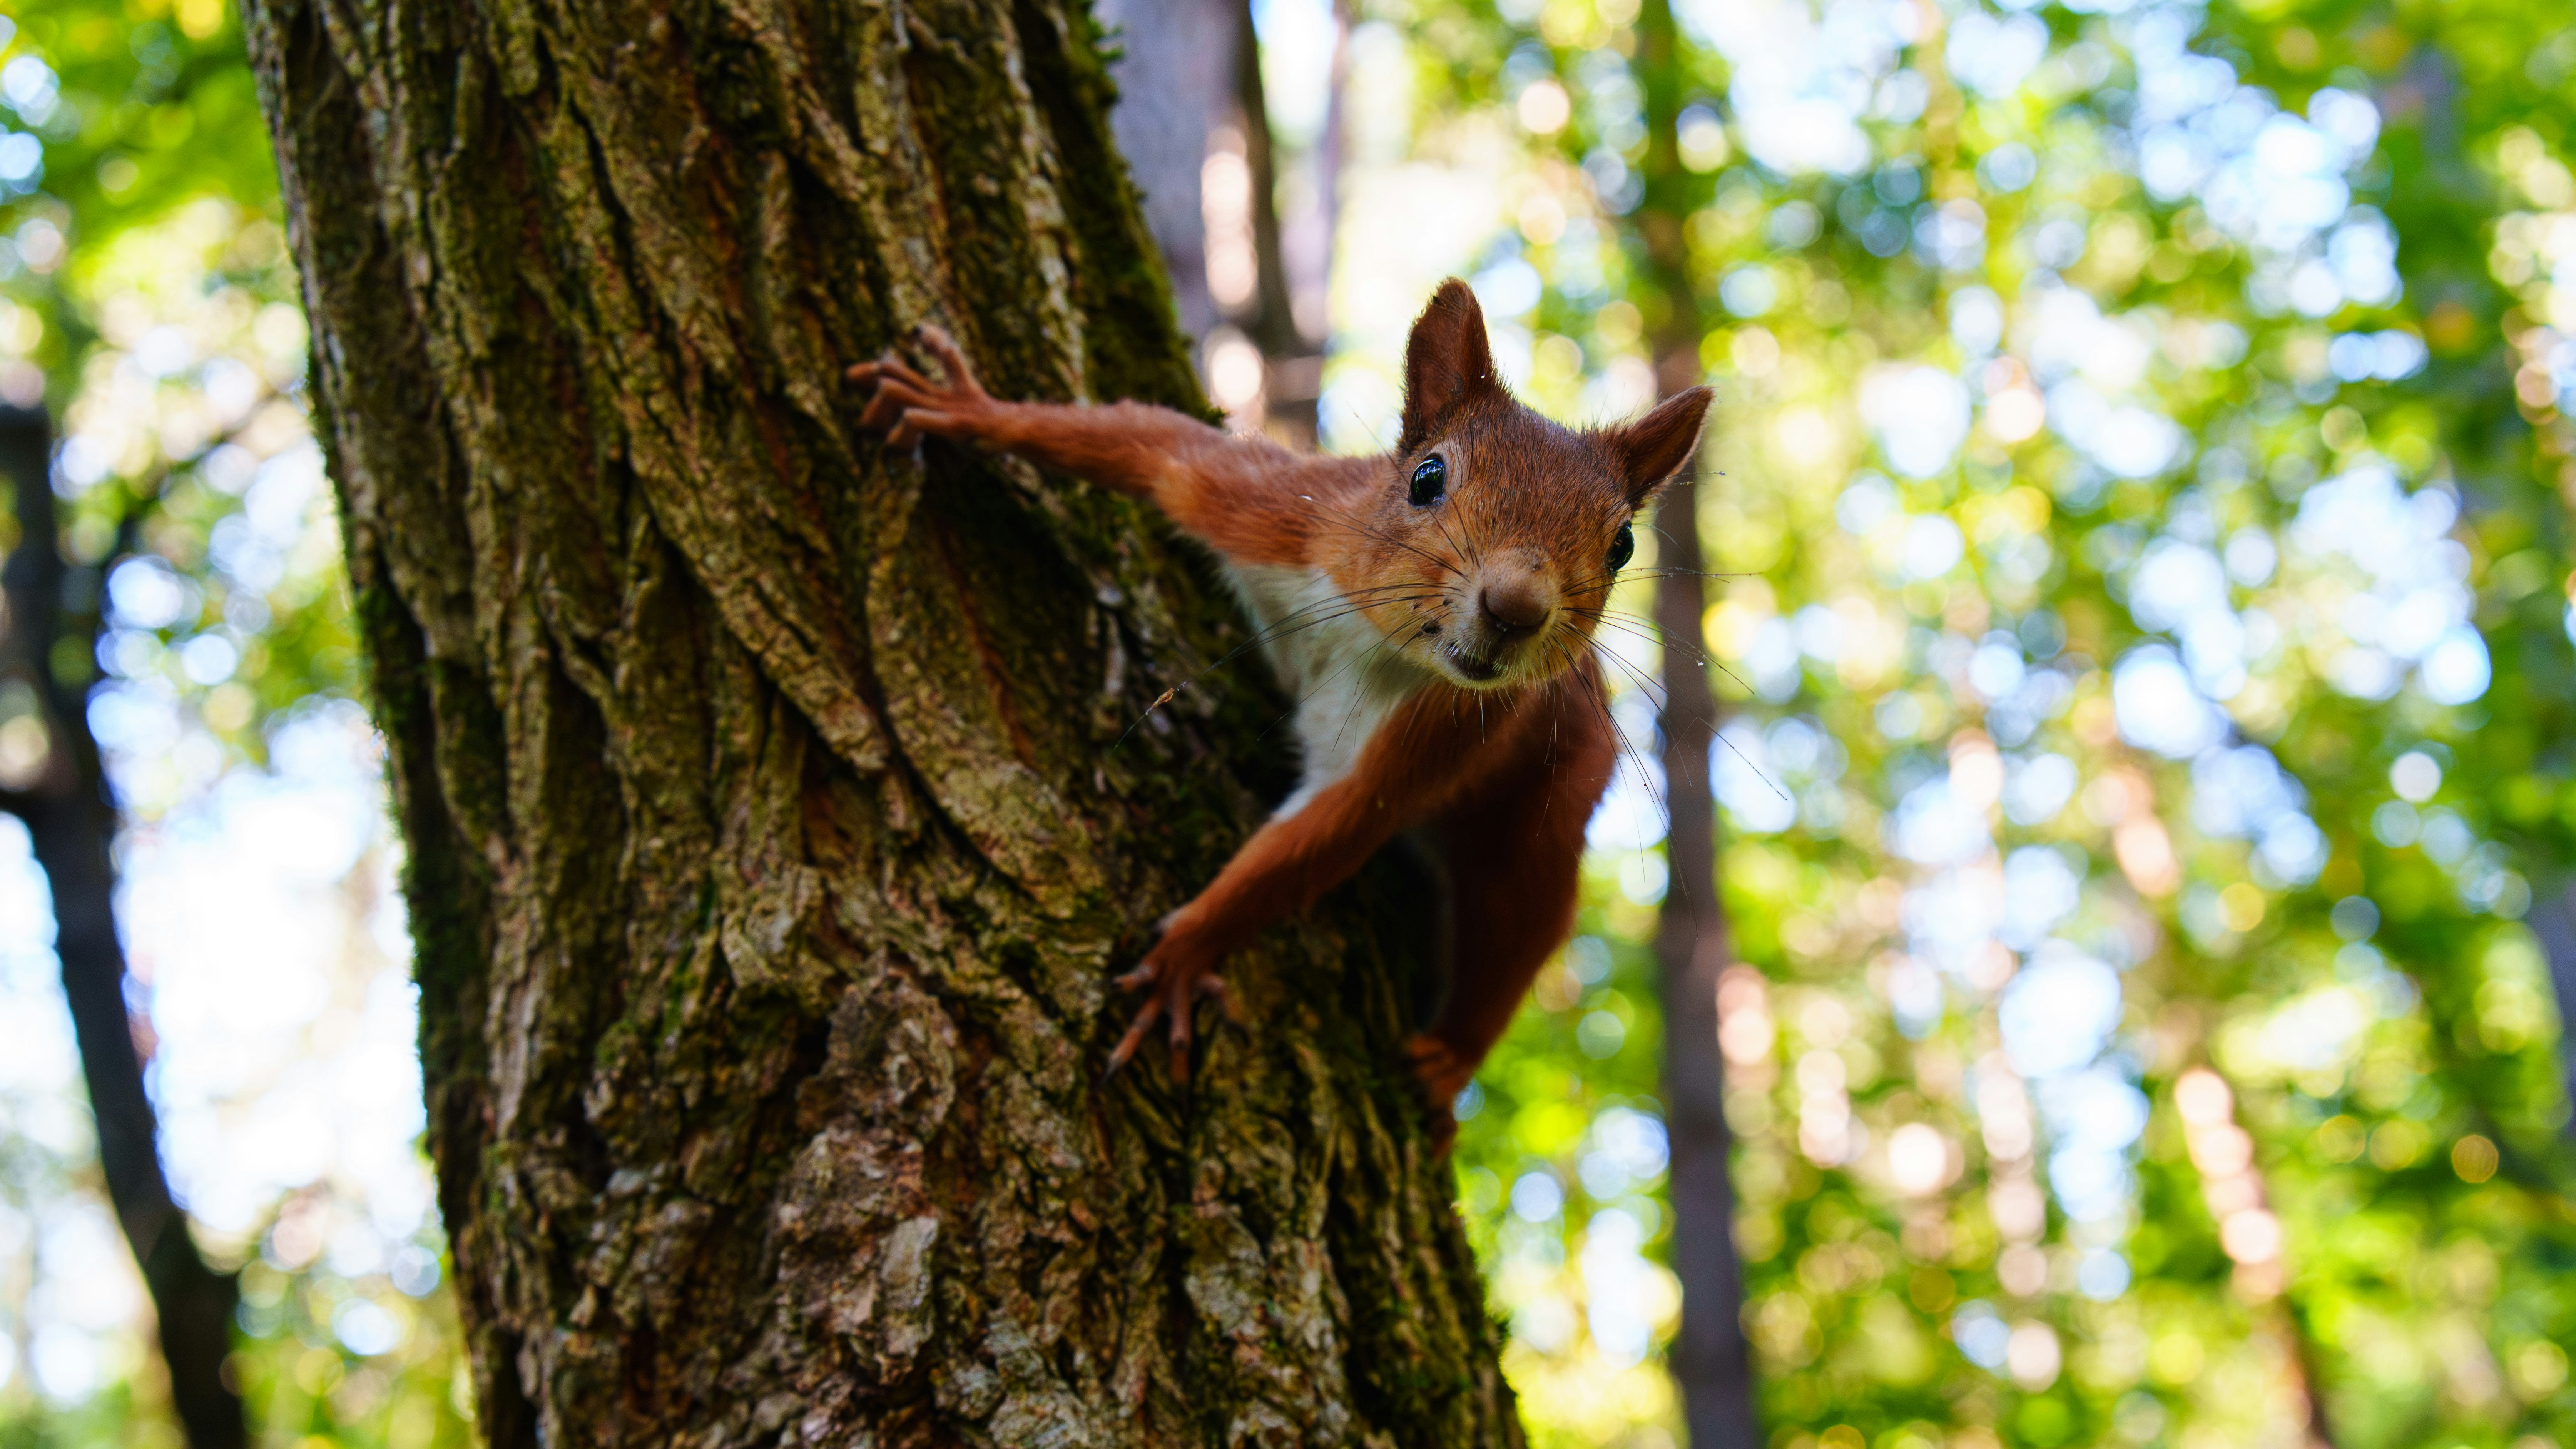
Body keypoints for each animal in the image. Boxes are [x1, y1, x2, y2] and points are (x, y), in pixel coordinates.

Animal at [849, 279, 1711, 1136]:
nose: (1516, 608)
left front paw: (1185, 955)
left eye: (1622, 547)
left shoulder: (1443, 730)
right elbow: (1156, 444)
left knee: (1517, 922)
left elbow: (1323, 835)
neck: (1378, 638)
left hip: (1543, 808)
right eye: (1426, 478)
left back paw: (1447, 1060)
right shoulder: (1278, 512)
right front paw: (969, 409)